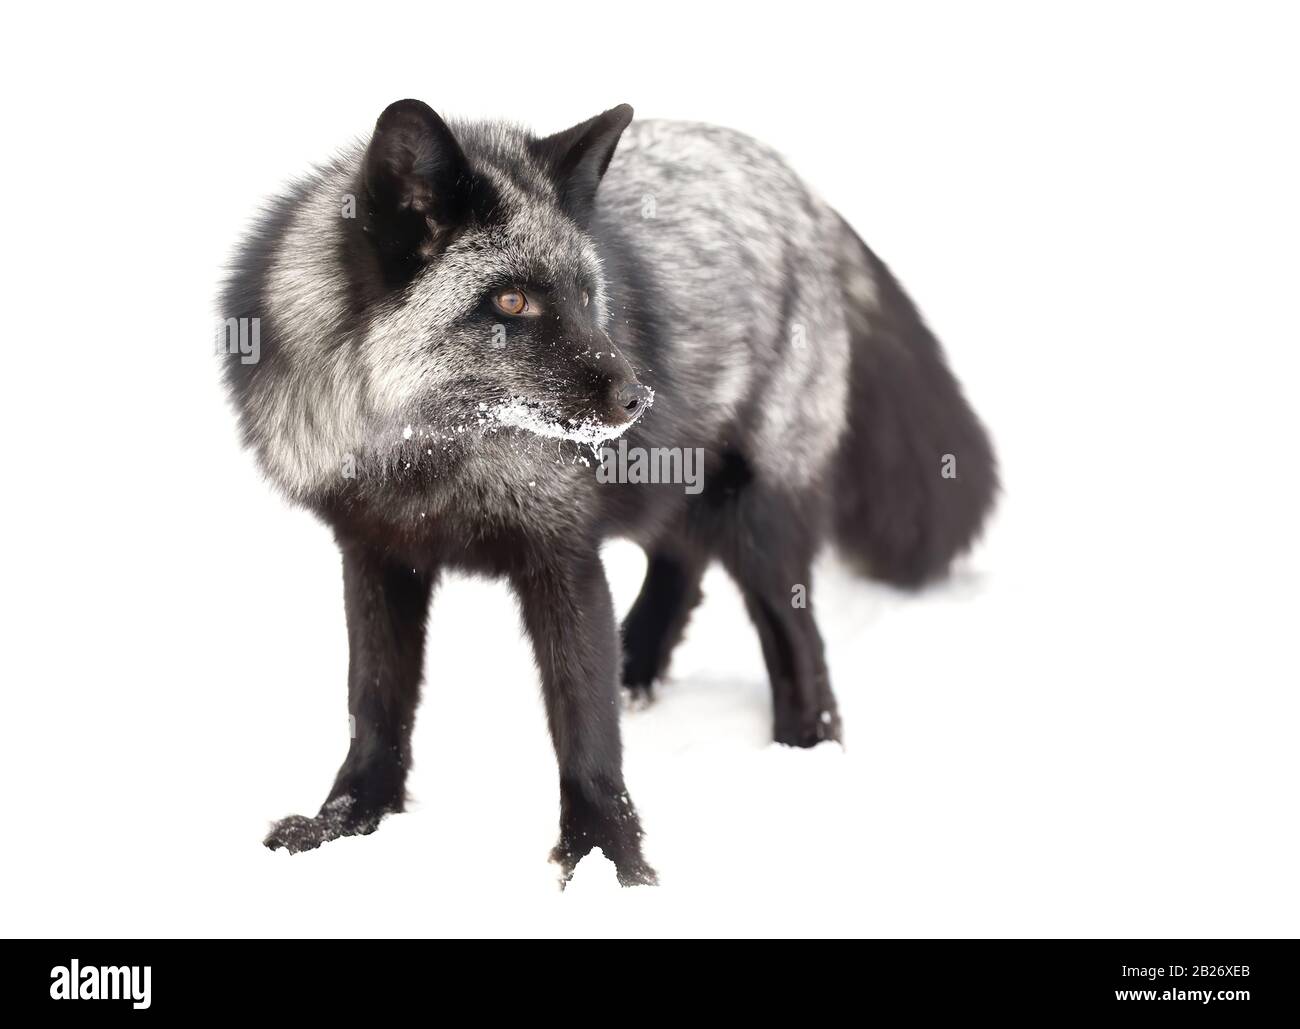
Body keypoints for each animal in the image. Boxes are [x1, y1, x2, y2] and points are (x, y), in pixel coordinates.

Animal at [221, 100, 997, 886]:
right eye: (511, 300)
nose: (637, 397)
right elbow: (375, 706)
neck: (430, 458)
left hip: (755, 513)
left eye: (589, 296)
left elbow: (584, 731)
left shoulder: (562, 552)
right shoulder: (376, 551)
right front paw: (346, 821)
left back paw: (803, 748)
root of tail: (802, 190)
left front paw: (606, 860)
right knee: (682, 560)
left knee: (794, 633)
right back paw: (640, 666)